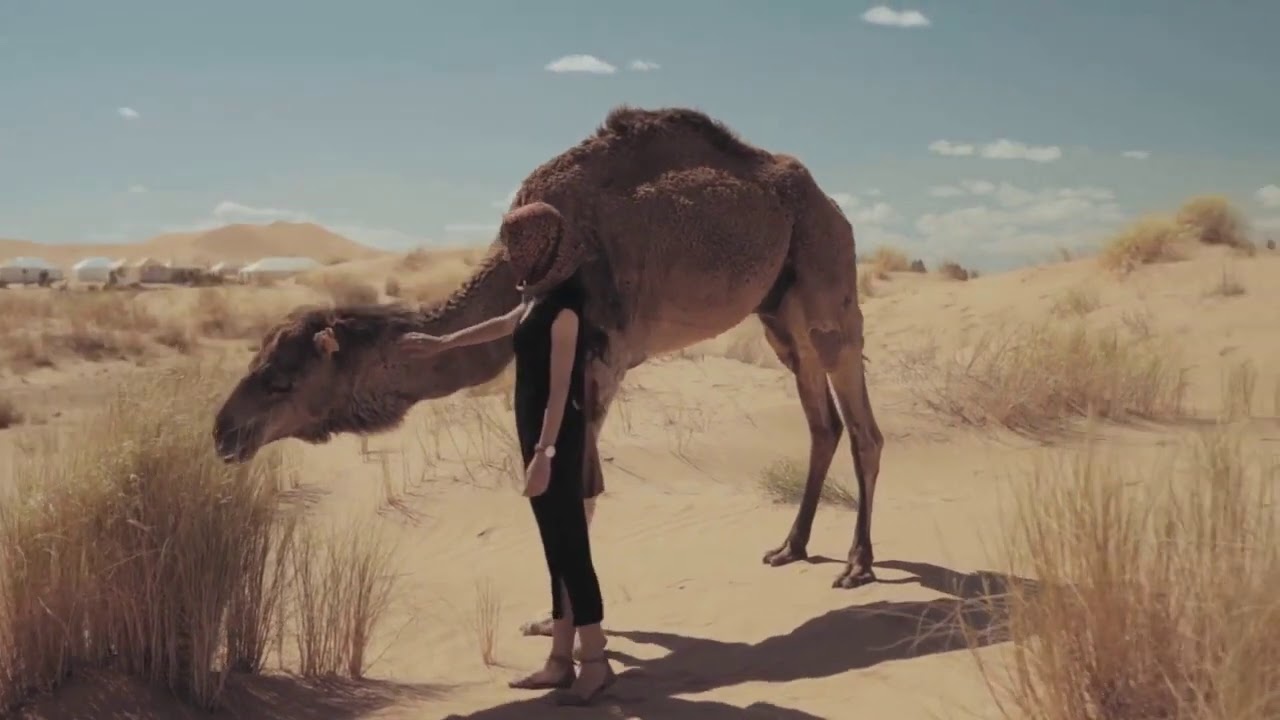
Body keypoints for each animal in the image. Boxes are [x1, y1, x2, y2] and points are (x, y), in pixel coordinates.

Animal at [212, 105, 886, 589]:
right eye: (256, 361)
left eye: (281, 380)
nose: (223, 432)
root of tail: (830, 203)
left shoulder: (603, 357)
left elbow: (578, 488)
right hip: (778, 312)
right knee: (822, 423)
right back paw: (792, 546)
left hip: (827, 277)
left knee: (861, 424)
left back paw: (858, 564)